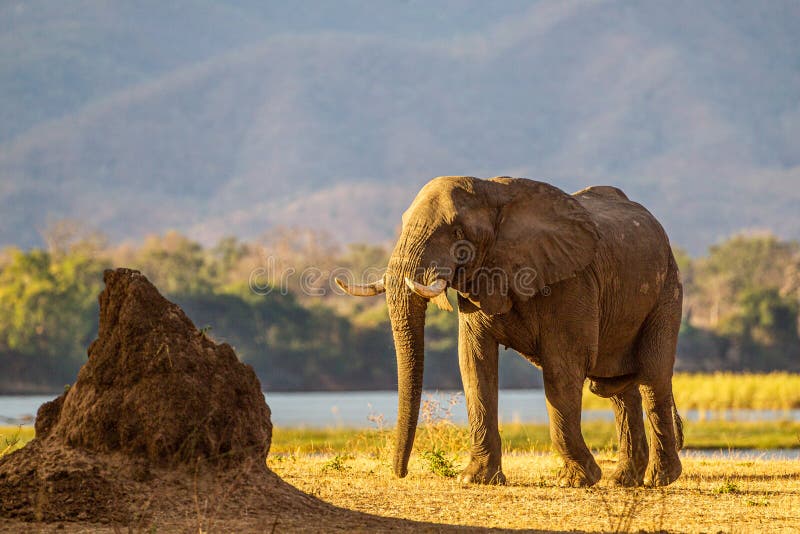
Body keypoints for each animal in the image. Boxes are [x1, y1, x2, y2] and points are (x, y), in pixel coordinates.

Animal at [337, 176, 683, 488]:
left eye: (457, 233)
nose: (401, 473)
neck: (492, 192)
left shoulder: (572, 281)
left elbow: (562, 368)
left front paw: (576, 481)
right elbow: (474, 364)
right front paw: (475, 480)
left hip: (668, 287)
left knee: (652, 376)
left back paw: (660, 479)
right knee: (616, 387)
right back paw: (623, 481)